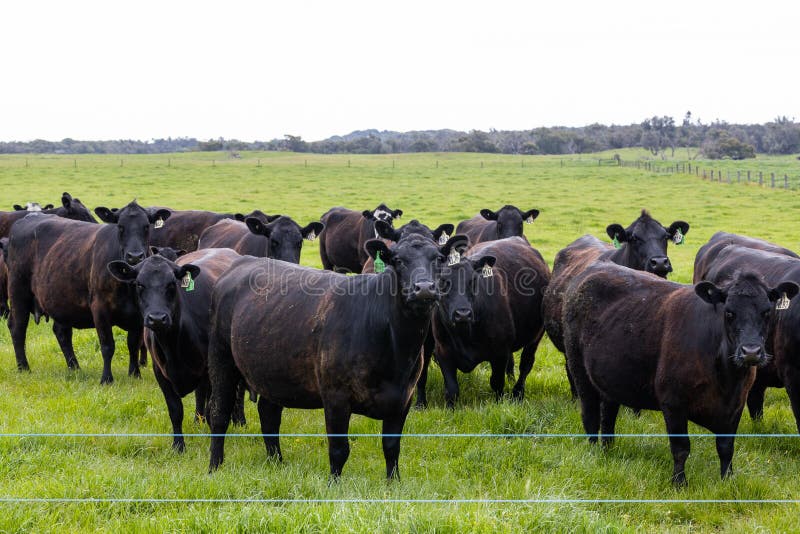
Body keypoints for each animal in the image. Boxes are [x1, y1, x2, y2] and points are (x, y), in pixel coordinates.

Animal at [6, 201, 171, 384]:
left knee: (62, 332)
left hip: (62, 300)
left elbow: (133, 344)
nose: (135, 256)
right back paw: (24, 367)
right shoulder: (100, 308)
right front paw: (106, 379)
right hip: (18, 291)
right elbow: (107, 346)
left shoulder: (138, 314)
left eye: (146, 226)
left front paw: (135, 374)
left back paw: (74, 367)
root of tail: (28, 217)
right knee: (17, 327)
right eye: (120, 226)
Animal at [108, 247, 240, 451]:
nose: (157, 318)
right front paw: (178, 446)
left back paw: (239, 421)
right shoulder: (160, 371)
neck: (174, 344)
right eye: (139, 284)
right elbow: (175, 410)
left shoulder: (211, 367)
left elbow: (213, 408)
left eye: (171, 284)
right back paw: (198, 420)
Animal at [207, 233, 465, 479]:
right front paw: (334, 484)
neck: (397, 351)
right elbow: (339, 449)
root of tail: (241, 262)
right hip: (221, 359)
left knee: (269, 414)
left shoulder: (403, 398)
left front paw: (393, 482)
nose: (424, 288)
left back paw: (276, 462)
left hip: (274, 370)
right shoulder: (336, 396)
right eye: (398, 260)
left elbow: (391, 446)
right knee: (219, 414)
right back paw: (214, 467)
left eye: (439, 259)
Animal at [430, 236, 550, 408]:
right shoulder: (443, 351)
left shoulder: (499, 353)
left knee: (526, 364)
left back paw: (517, 393)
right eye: (443, 281)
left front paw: (499, 403)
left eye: (473, 280)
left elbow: (496, 382)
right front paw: (450, 409)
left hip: (536, 335)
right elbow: (452, 389)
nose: (462, 314)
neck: (464, 334)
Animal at [562, 263, 798, 486]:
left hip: (610, 377)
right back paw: (594, 452)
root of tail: (594, 269)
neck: (726, 380)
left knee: (608, 414)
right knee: (590, 414)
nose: (751, 352)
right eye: (729, 312)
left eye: (767, 312)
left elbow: (726, 447)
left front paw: (727, 480)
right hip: (579, 369)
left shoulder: (736, 405)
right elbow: (681, 447)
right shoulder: (673, 403)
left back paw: (608, 450)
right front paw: (679, 483)